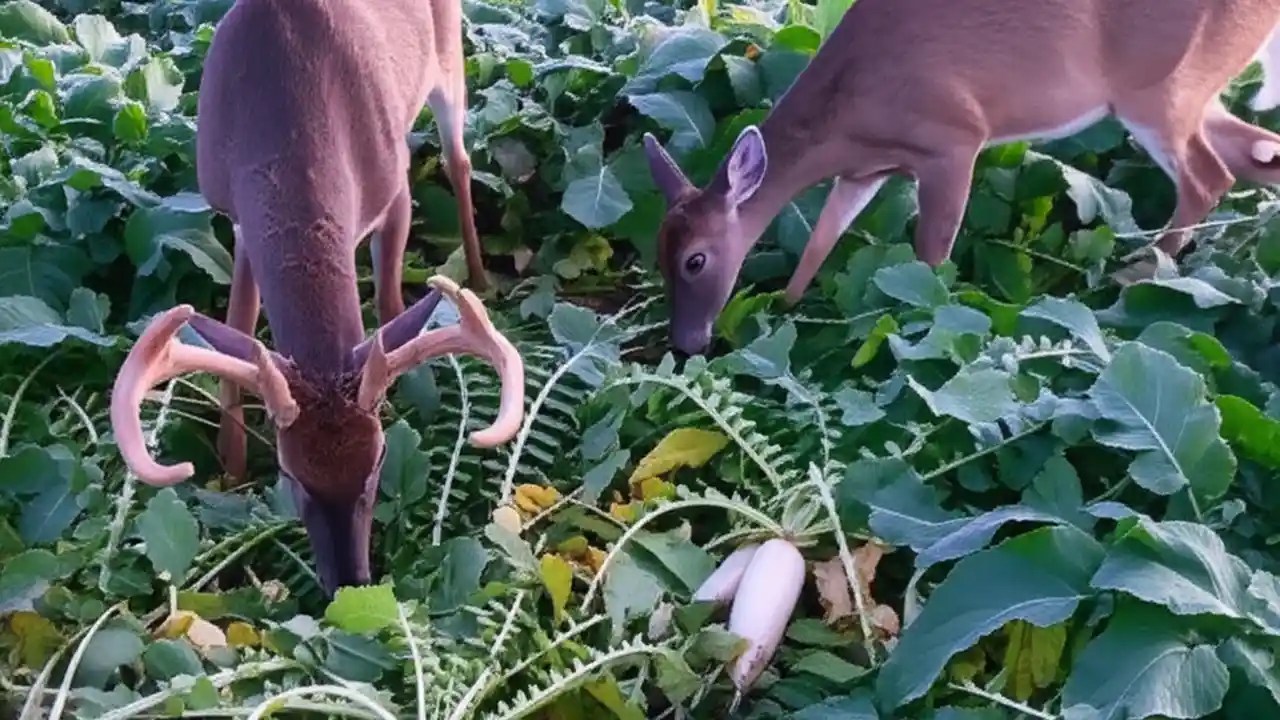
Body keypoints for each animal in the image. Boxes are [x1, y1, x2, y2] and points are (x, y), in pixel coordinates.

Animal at [109, 0, 525, 596]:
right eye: (290, 473)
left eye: (379, 459)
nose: (351, 584)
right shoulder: (237, 213)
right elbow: (238, 326)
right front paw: (231, 469)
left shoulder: (391, 186)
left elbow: (392, 305)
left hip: (449, 62)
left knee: (460, 159)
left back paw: (480, 275)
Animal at [642, 0, 1280, 356]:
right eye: (658, 254)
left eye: (696, 260)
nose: (687, 343)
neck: (850, 108)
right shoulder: (865, 168)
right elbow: (823, 237)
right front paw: (786, 306)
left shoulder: (952, 138)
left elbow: (932, 251)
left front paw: (921, 321)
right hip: (1195, 91)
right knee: (1256, 154)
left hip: (1157, 88)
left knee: (1207, 176)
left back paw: (1140, 275)